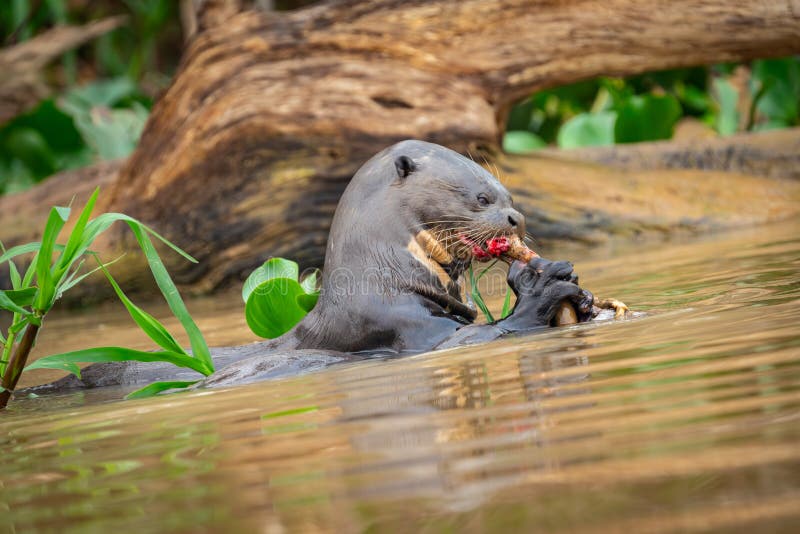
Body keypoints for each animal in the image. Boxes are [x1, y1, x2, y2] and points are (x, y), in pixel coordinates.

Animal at [31, 140, 595, 391]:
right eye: (482, 198)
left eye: (509, 195)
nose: (517, 217)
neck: (384, 278)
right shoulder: (399, 323)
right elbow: (476, 337)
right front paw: (542, 286)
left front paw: (582, 299)